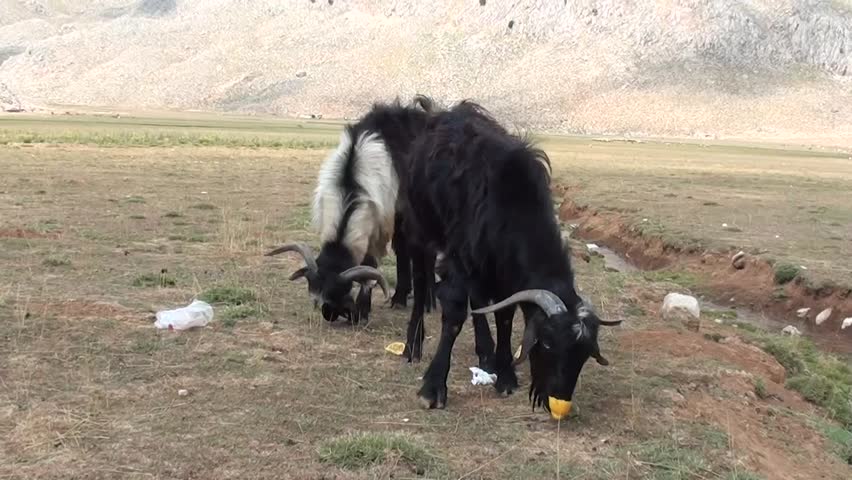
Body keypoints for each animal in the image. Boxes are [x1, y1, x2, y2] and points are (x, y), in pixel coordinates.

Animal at [266, 96, 437, 324]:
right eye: (314, 295)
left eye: (343, 290)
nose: (330, 314)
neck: (351, 181)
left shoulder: (379, 228)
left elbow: (371, 267)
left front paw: (364, 310)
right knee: (403, 248)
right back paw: (401, 297)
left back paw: (427, 301)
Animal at [404, 101, 621, 418]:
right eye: (546, 344)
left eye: (584, 355)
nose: (559, 403)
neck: (511, 203)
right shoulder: (460, 260)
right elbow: (454, 315)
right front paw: (432, 389)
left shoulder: (501, 271)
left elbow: (504, 315)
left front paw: (505, 375)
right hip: (420, 230)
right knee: (421, 282)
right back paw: (412, 346)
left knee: (478, 300)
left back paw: (486, 353)